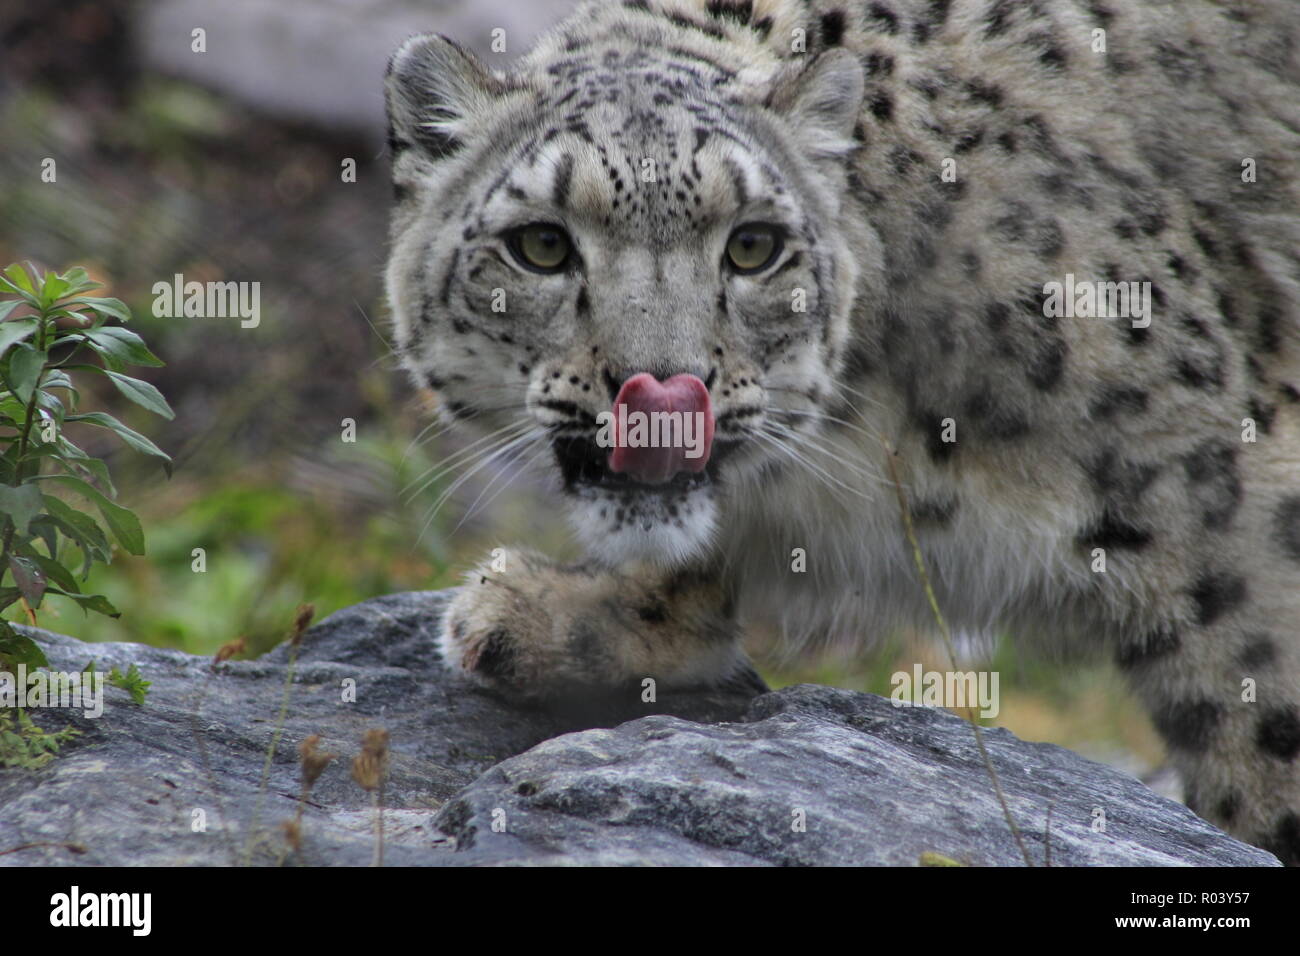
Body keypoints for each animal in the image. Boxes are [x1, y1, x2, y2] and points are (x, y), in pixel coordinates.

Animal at [383, 0, 1300, 863]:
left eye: (754, 246)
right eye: (541, 244)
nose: (664, 390)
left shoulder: (1221, 480)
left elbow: (1259, 713)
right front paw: (560, 614)